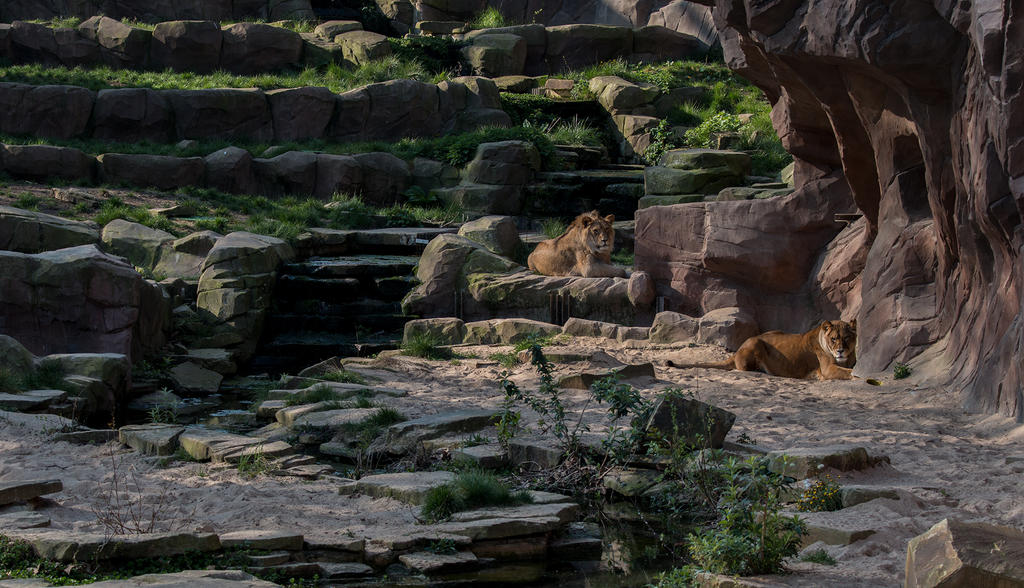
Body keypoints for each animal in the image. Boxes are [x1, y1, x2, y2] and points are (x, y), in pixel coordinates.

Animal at [666, 320, 857, 380]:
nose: (840, 351)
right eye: (834, 339)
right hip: (756, 342)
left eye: (847, 338)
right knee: (742, 367)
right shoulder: (827, 369)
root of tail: (738, 349)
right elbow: (849, 373)